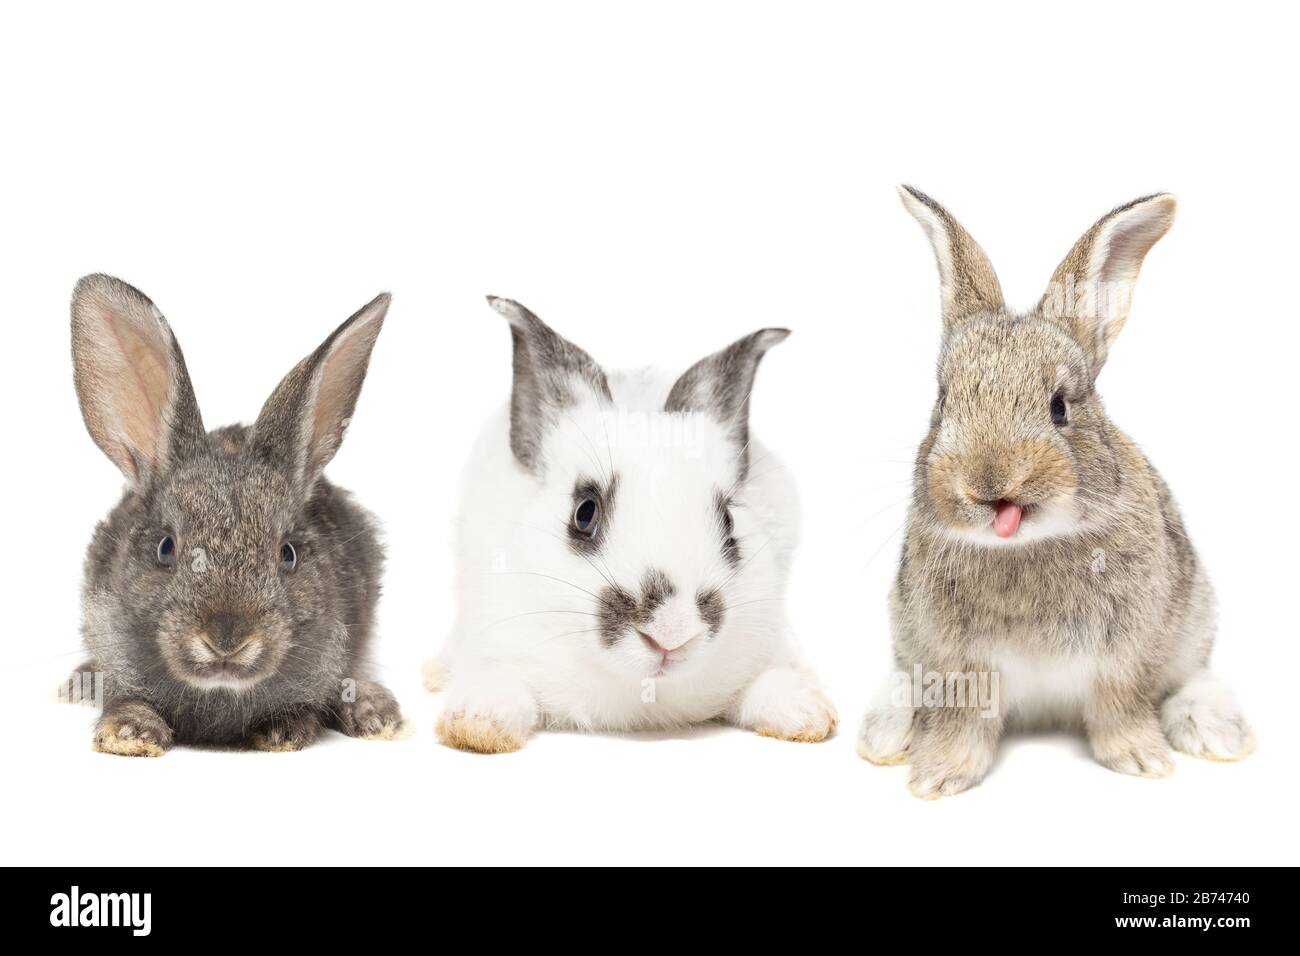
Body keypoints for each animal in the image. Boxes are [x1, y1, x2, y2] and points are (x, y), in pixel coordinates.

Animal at [65, 274, 404, 755]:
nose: (227, 638)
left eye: (288, 554)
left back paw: (375, 712)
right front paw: (130, 734)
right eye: (166, 548)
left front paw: (284, 732)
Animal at [428, 296, 836, 752]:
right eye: (584, 512)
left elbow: (766, 683)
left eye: (729, 521)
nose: (671, 630)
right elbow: (499, 681)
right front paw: (476, 724)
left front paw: (806, 714)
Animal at [856, 188, 1254, 797]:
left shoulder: (1127, 654)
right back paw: (887, 733)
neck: (1025, 545)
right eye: (943, 402)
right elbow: (962, 720)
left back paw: (1215, 732)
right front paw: (939, 775)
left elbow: (1120, 706)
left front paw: (1141, 760)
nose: (988, 483)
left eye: (1060, 406)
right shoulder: (958, 663)